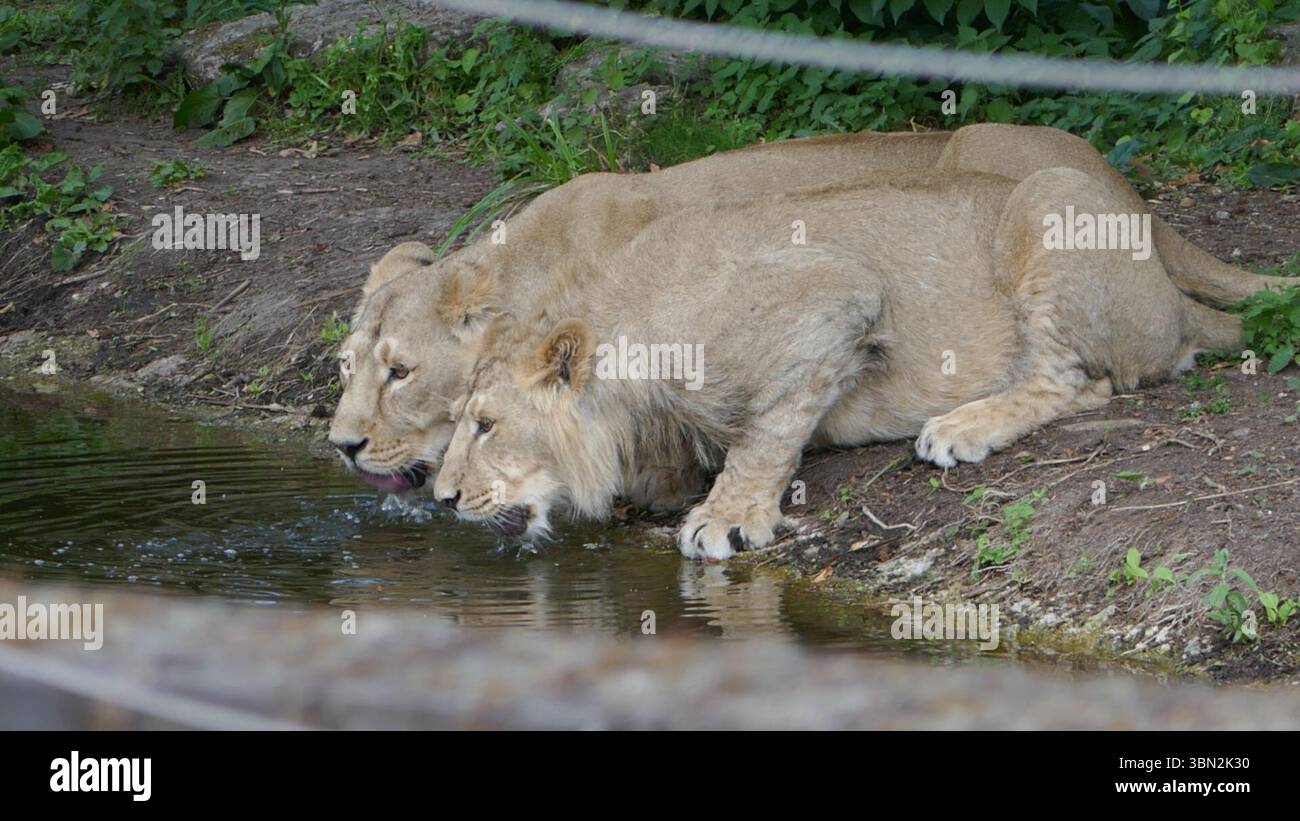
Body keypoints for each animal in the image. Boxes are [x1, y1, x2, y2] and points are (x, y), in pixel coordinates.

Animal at [429, 167, 1258, 559]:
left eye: (486, 424)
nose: (440, 499)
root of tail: (1172, 294)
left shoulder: (840, 292)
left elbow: (768, 429)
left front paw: (728, 516)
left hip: (1048, 199)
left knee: (1083, 381)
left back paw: (962, 426)